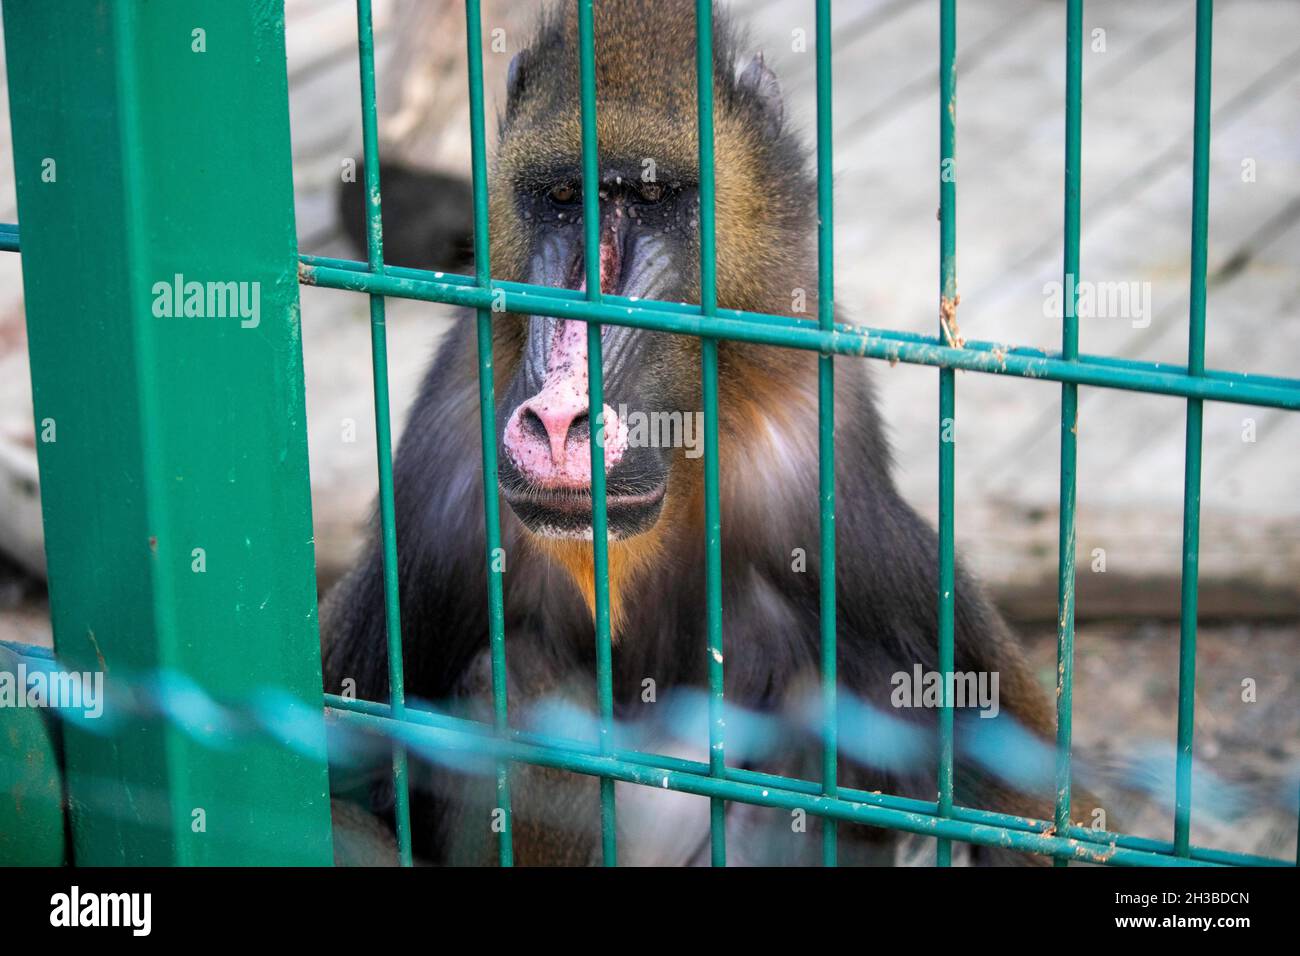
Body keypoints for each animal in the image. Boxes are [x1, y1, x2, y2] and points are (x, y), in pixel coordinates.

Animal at [324, 0, 1089, 866]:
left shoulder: (812, 455)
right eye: (562, 196)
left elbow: (1026, 803)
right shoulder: (451, 453)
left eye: (655, 198)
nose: (557, 420)